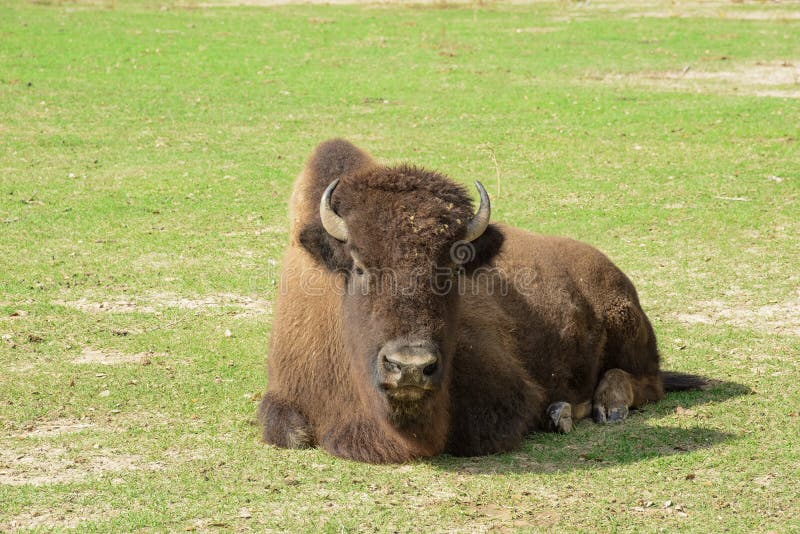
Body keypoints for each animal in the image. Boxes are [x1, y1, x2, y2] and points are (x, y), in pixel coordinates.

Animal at [257, 139, 704, 463]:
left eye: (452, 268)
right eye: (360, 266)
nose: (411, 367)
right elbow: (291, 433)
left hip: (628, 330)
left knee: (646, 381)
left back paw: (597, 407)